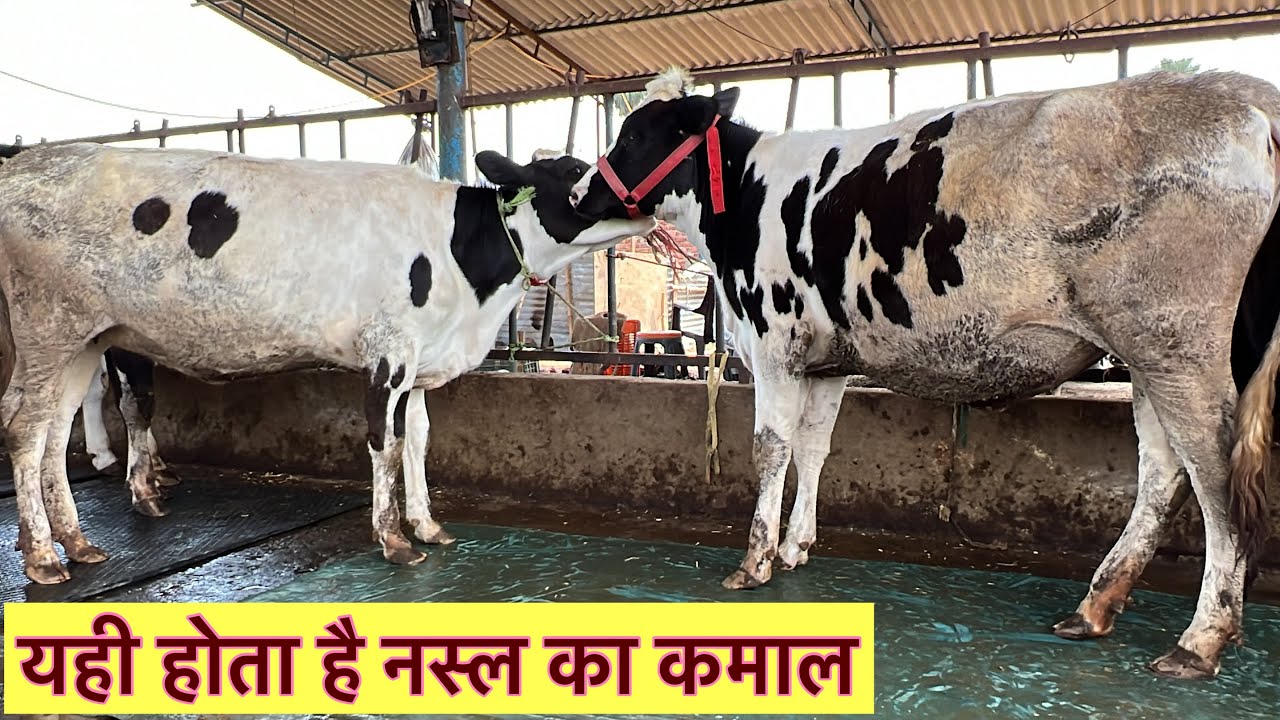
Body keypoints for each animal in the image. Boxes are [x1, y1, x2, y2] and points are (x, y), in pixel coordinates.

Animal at [0, 143, 654, 587]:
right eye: (571, 172)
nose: (646, 204)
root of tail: (27, 163)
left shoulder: (422, 360)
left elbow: (419, 441)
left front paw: (428, 525)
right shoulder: (388, 355)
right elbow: (386, 444)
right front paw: (393, 539)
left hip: (85, 342)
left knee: (57, 432)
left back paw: (76, 541)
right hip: (47, 331)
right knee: (26, 430)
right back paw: (42, 556)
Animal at [570, 67, 1280, 679]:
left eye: (633, 137)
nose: (578, 195)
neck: (744, 199)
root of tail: (1244, 93)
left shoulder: (774, 346)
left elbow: (771, 450)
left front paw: (755, 561)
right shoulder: (827, 363)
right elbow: (815, 449)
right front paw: (797, 547)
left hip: (1182, 347)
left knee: (1215, 477)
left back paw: (1200, 639)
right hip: (1147, 355)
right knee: (1162, 472)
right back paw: (1094, 607)